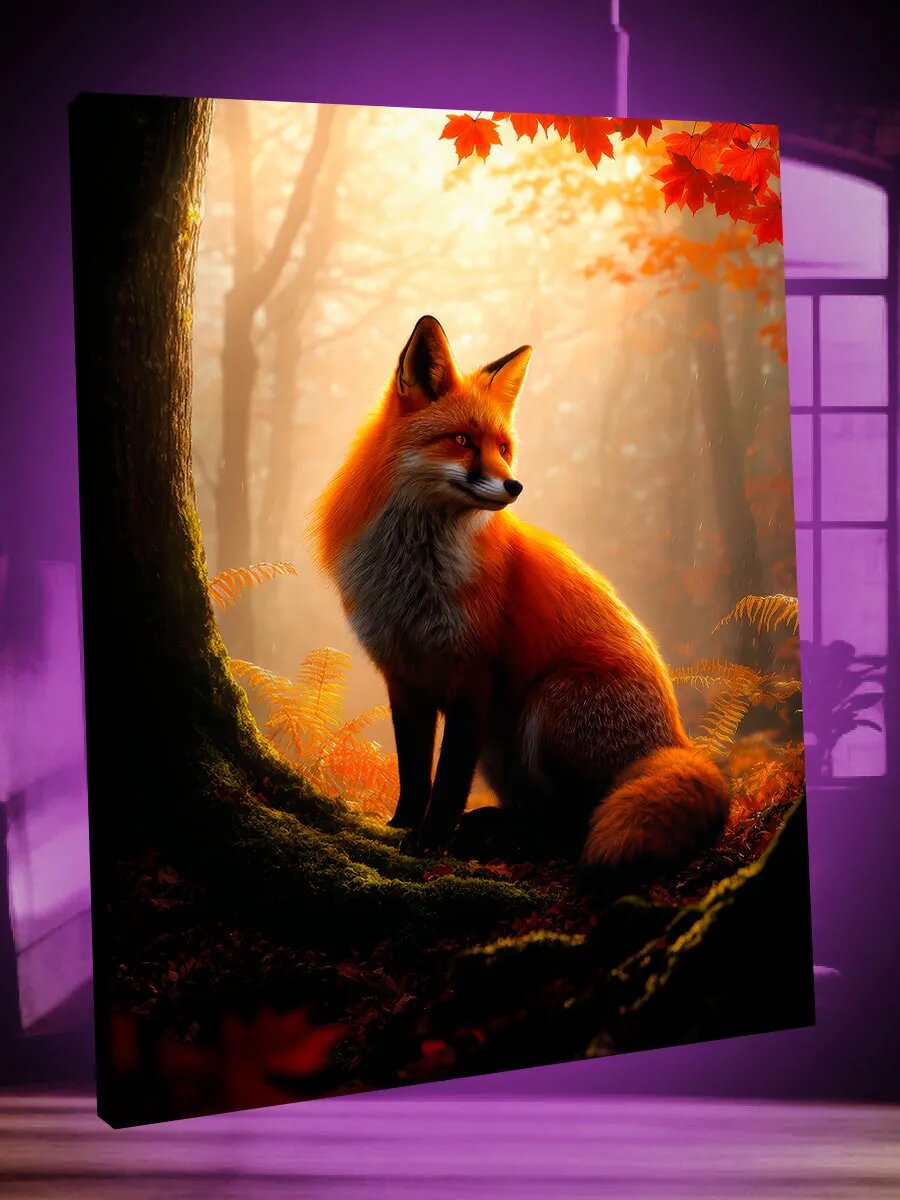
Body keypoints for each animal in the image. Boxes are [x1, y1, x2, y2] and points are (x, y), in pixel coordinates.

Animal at [312, 315, 730, 878]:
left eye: (504, 448)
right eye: (462, 440)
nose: (515, 486)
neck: (413, 574)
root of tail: (677, 743)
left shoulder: (473, 675)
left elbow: (448, 782)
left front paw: (430, 842)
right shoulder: (403, 675)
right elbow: (414, 772)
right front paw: (400, 828)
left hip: (549, 701)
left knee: (573, 820)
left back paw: (506, 837)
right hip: (503, 741)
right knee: (540, 807)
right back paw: (495, 827)